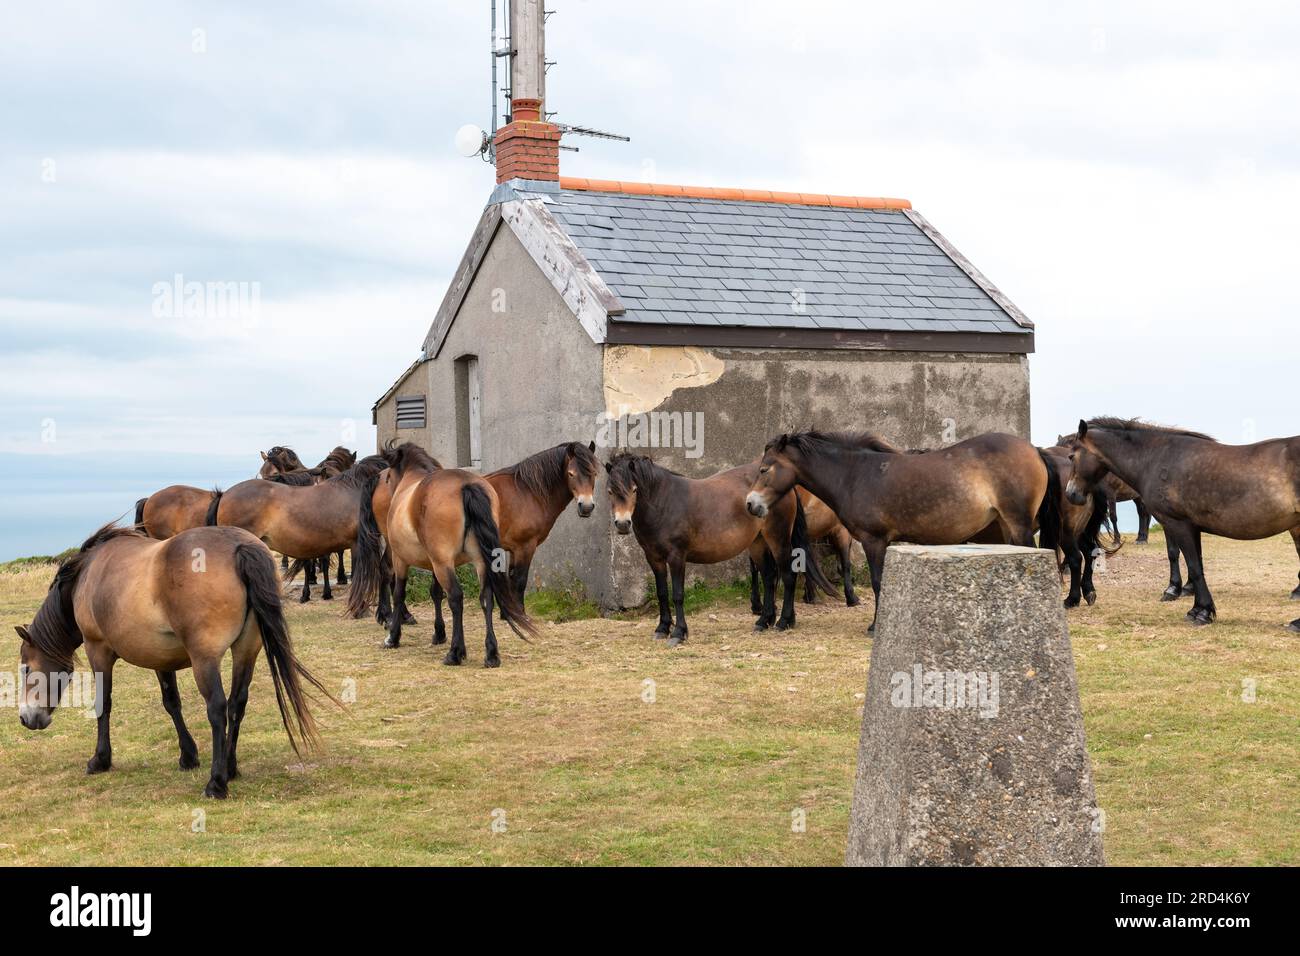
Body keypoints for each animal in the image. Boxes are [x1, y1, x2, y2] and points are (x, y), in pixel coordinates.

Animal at [14, 524, 330, 799]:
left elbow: (103, 704)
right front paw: (188, 755)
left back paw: (216, 783)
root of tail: (240, 546)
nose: (25, 718)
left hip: (205, 659)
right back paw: (230, 768)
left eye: (26, 668)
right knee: (237, 704)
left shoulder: (98, 650)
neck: (87, 575)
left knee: (217, 708)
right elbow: (171, 703)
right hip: (246, 650)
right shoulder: (160, 657)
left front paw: (100, 760)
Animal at [363, 443, 537, 665]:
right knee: (486, 598)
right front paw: (439, 633)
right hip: (479, 562)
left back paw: (455, 653)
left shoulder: (402, 559)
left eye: (388, 477)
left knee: (455, 597)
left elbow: (400, 593)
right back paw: (491, 654)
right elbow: (436, 593)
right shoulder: (433, 563)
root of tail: (466, 486)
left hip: (443, 563)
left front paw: (393, 637)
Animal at [604, 453, 835, 647]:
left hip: (778, 539)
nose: (622, 524)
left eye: (634, 489)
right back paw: (763, 621)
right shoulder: (654, 558)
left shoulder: (677, 557)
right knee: (769, 577)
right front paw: (662, 628)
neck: (664, 504)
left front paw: (679, 633)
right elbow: (662, 593)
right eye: (610, 491)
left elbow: (677, 594)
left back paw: (784, 621)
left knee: (787, 576)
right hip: (757, 543)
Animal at [746, 430, 1057, 631]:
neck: (855, 475)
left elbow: (878, 582)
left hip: (1018, 524)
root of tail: (1034, 450)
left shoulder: (874, 541)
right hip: (1007, 526)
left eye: (764, 469)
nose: (750, 504)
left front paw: (875, 626)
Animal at [1067, 417, 1300, 630]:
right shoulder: (1191, 527)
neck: (1156, 459)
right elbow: (1194, 564)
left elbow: (1194, 567)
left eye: (1071, 456)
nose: (1071, 494)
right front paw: (1195, 605)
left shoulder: (1178, 524)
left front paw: (1202, 612)